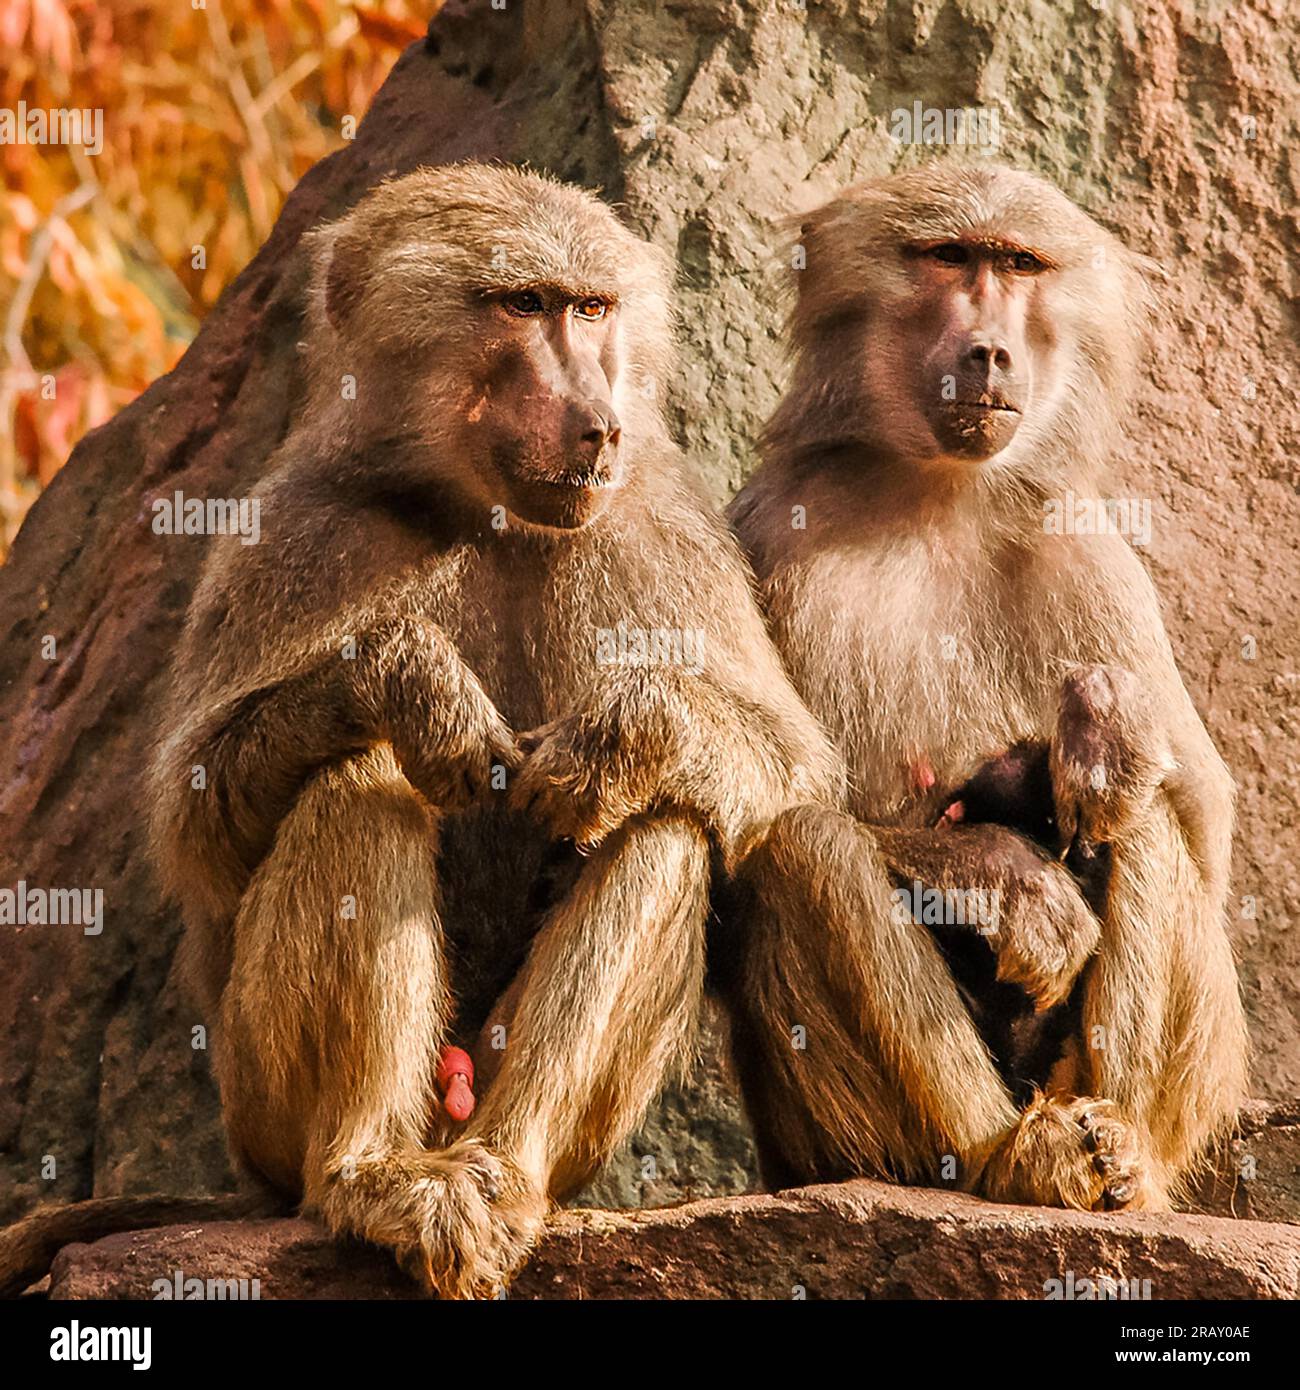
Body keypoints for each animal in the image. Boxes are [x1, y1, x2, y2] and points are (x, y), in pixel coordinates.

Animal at [0, 163, 842, 1300]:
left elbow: (793, 769)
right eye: (521, 304)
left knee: (665, 823)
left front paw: (622, 736)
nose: (596, 425)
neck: (478, 508)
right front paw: (409, 682)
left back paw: (502, 1169)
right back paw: (369, 1173)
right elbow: (196, 824)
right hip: (257, 1114)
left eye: (591, 309)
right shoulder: (295, 524)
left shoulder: (656, 517)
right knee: (357, 780)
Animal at [721, 161, 1248, 1213]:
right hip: (836, 1143)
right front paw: (1007, 876)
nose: (991, 352)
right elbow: (746, 820)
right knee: (807, 850)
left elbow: (1201, 836)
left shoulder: (1092, 553)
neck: (940, 492)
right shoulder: (763, 531)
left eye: (1019, 263)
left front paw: (1098, 740)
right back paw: (1008, 1158)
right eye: (948, 256)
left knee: (1145, 819)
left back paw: (1113, 1151)